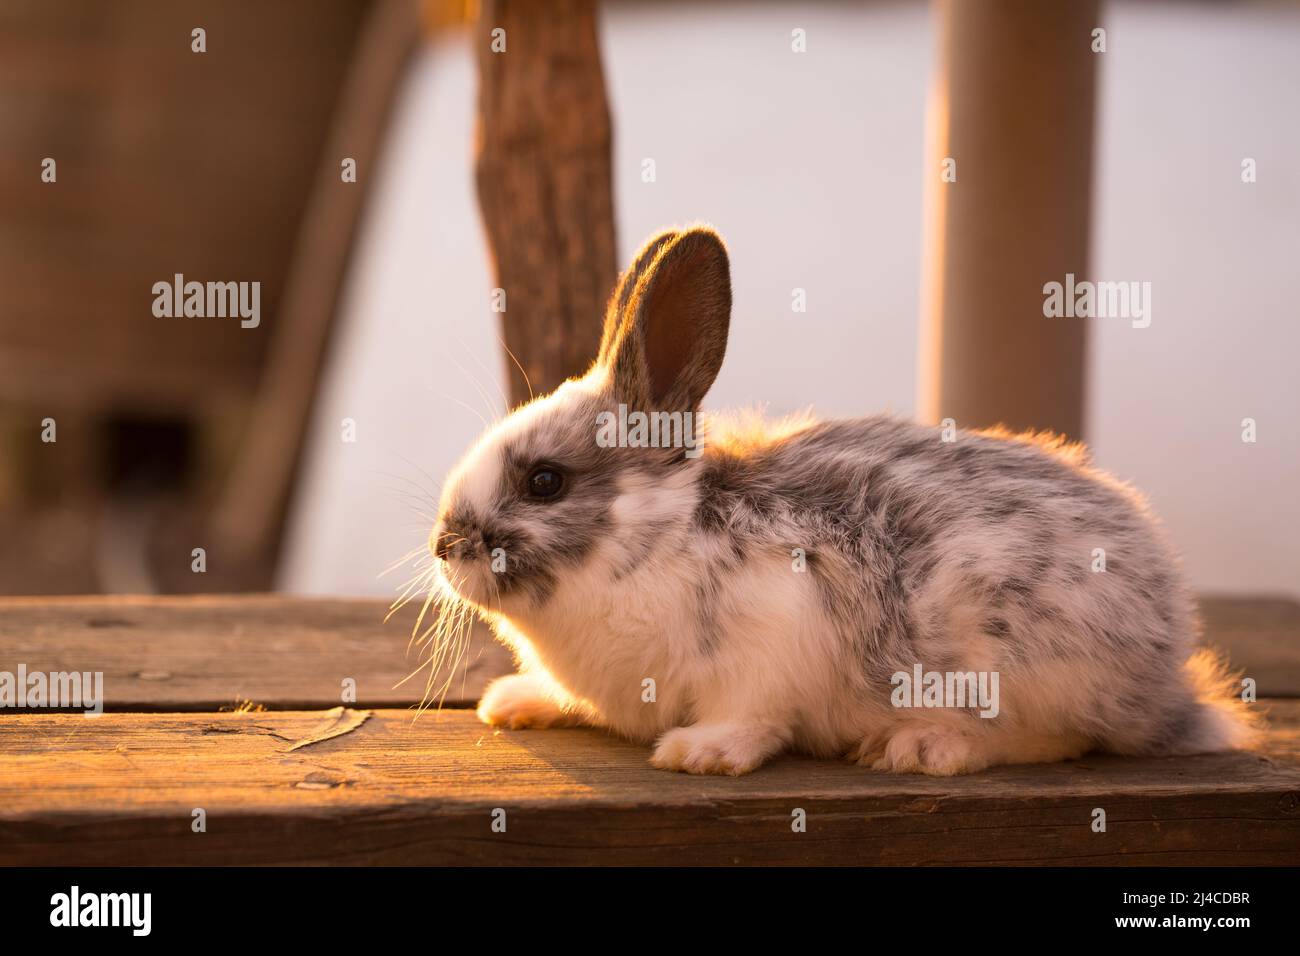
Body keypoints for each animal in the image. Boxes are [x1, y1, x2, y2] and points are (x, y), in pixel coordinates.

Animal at [429, 225, 1258, 776]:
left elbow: (754, 719)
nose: (445, 546)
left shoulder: (772, 644)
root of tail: (1168, 674)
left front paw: (699, 753)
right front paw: (514, 700)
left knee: (1055, 740)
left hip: (1023, 671)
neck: (654, 543)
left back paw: (922, 745)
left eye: (545, 482)